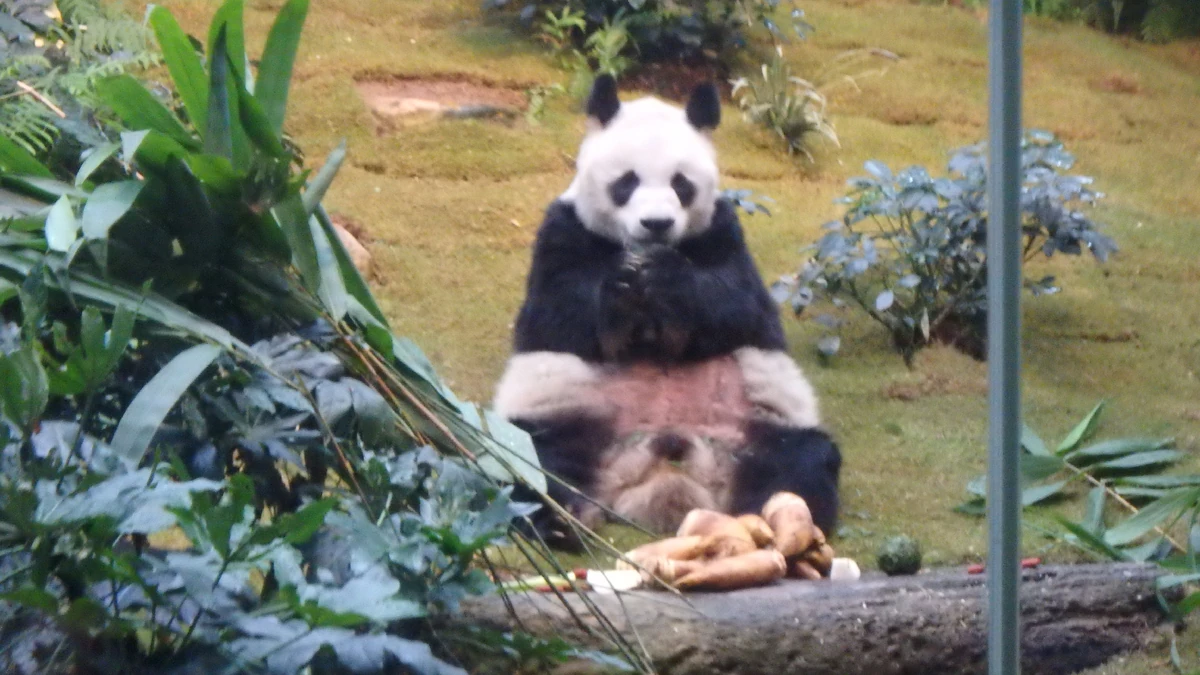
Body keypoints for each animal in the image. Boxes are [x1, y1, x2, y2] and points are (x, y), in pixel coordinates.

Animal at [493, 74, 841, 546]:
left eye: (681, 184)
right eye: (626, 182)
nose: (656, 224)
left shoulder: (723, 231)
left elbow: (740, 307)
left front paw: (667, 279)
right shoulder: (562, 229)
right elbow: (557, 313)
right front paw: (620, 286)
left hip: (757, 424)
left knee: (799, 459)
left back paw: (768, 519)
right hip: (563, 411)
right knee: (532, 458)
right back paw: (559, 521)